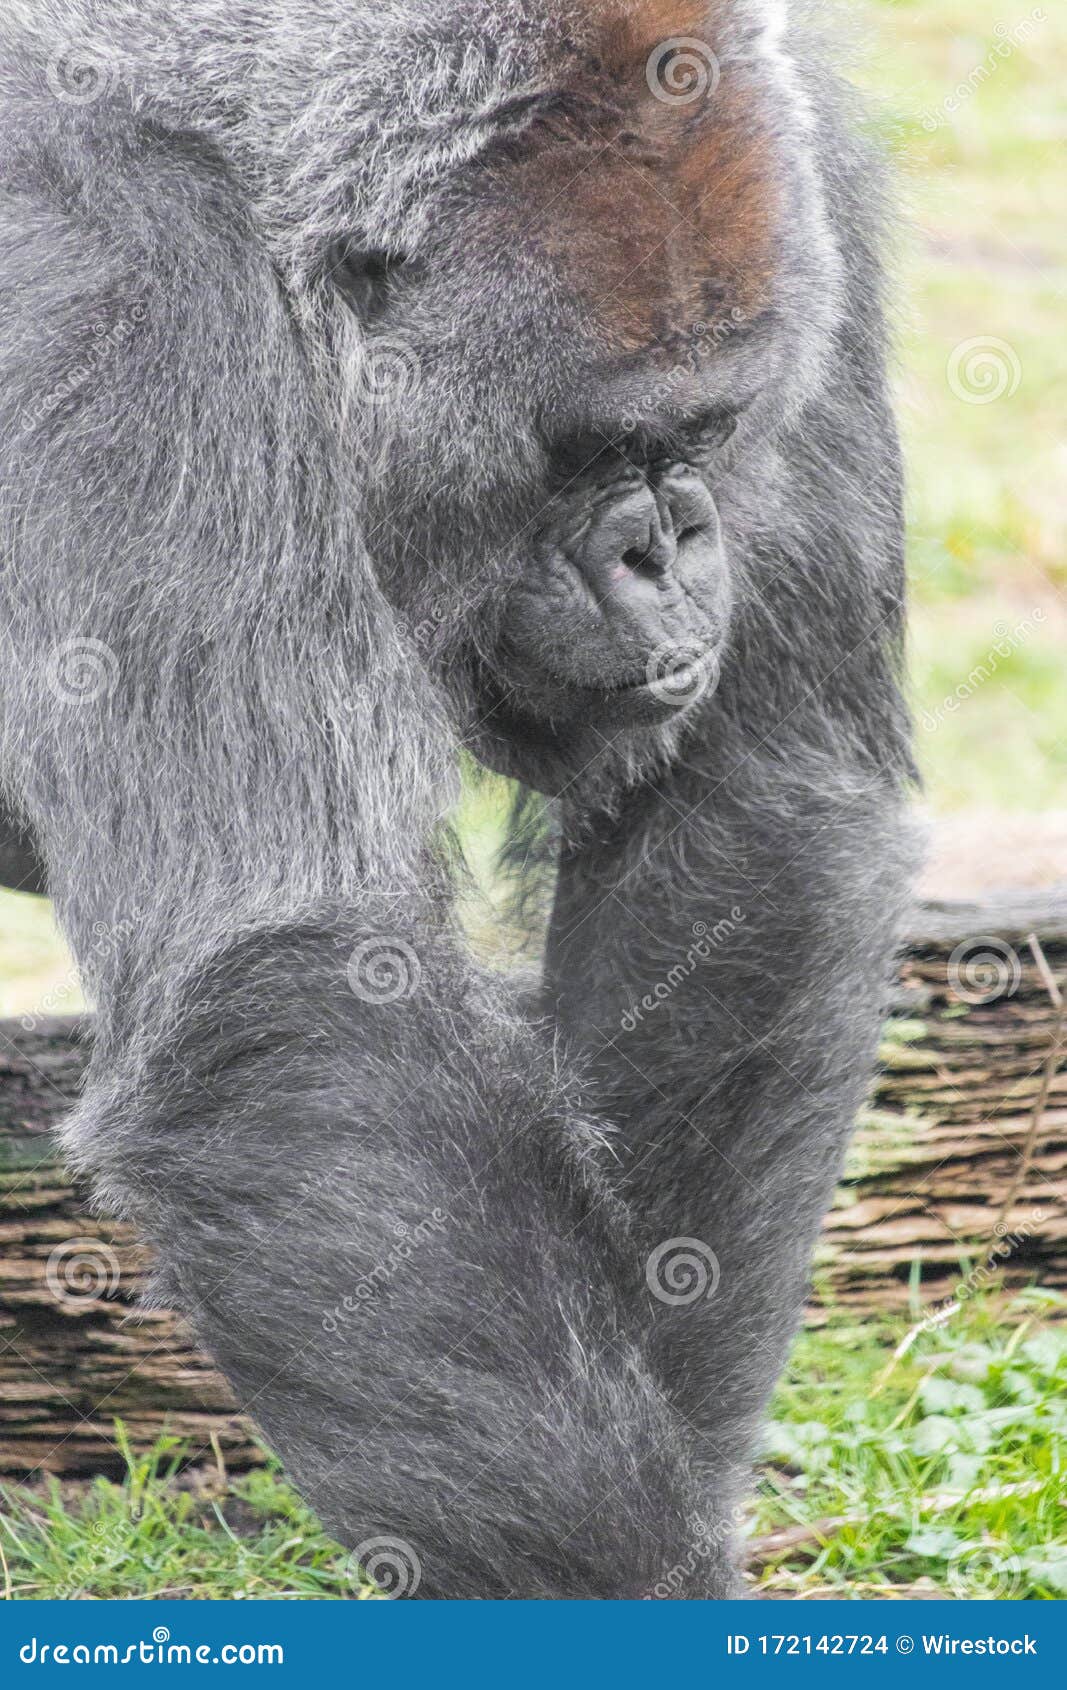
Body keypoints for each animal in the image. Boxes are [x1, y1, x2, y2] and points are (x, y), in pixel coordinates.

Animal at [0, 1, 917, 1598]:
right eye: (596, 451)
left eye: (703, 435)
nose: (670, 550)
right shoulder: (124, 281)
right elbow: (297, 988)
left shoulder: (812, 170)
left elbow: (747, 820)